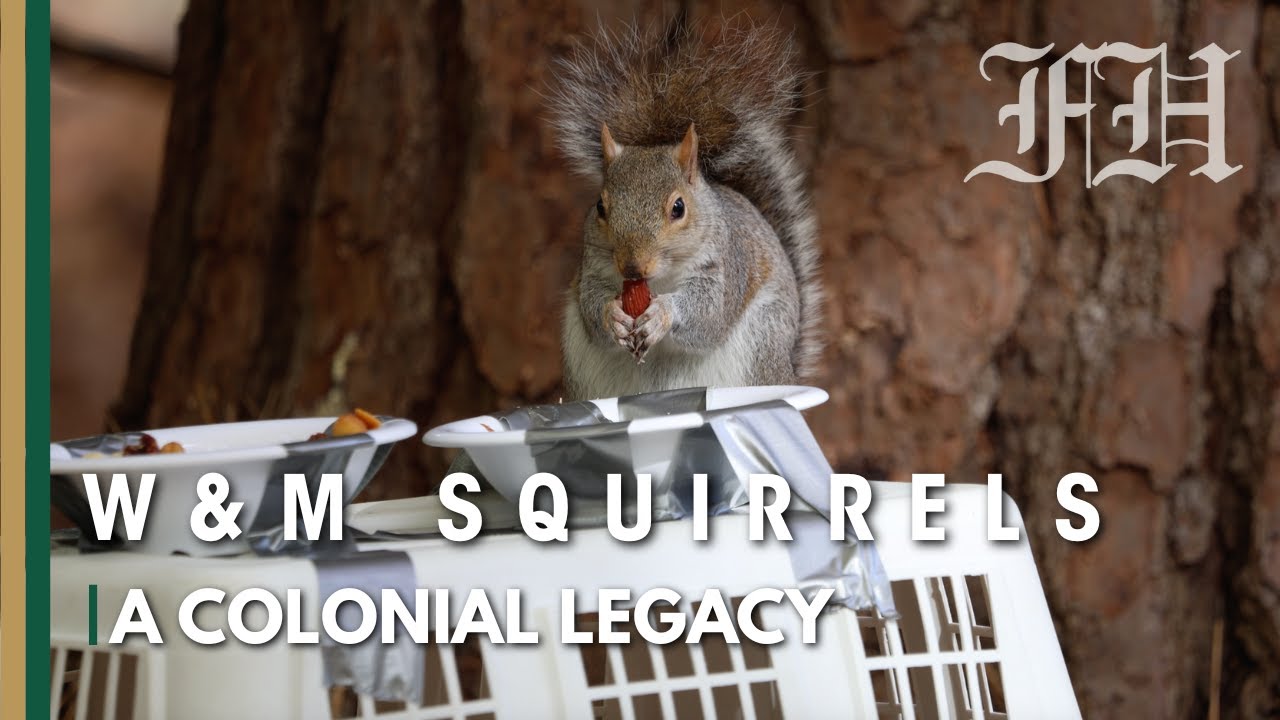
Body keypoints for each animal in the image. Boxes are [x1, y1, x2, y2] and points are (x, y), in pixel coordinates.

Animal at [548, 20, 824, 401]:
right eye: (601, 206)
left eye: (678, 208)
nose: (632, 266)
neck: (657, 280)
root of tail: (788, 372)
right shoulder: (593, 268)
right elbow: (591, 305)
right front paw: (612, 314)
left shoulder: (726, 268)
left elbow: (708, 314)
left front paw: (663, 313)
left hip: (763, 341)